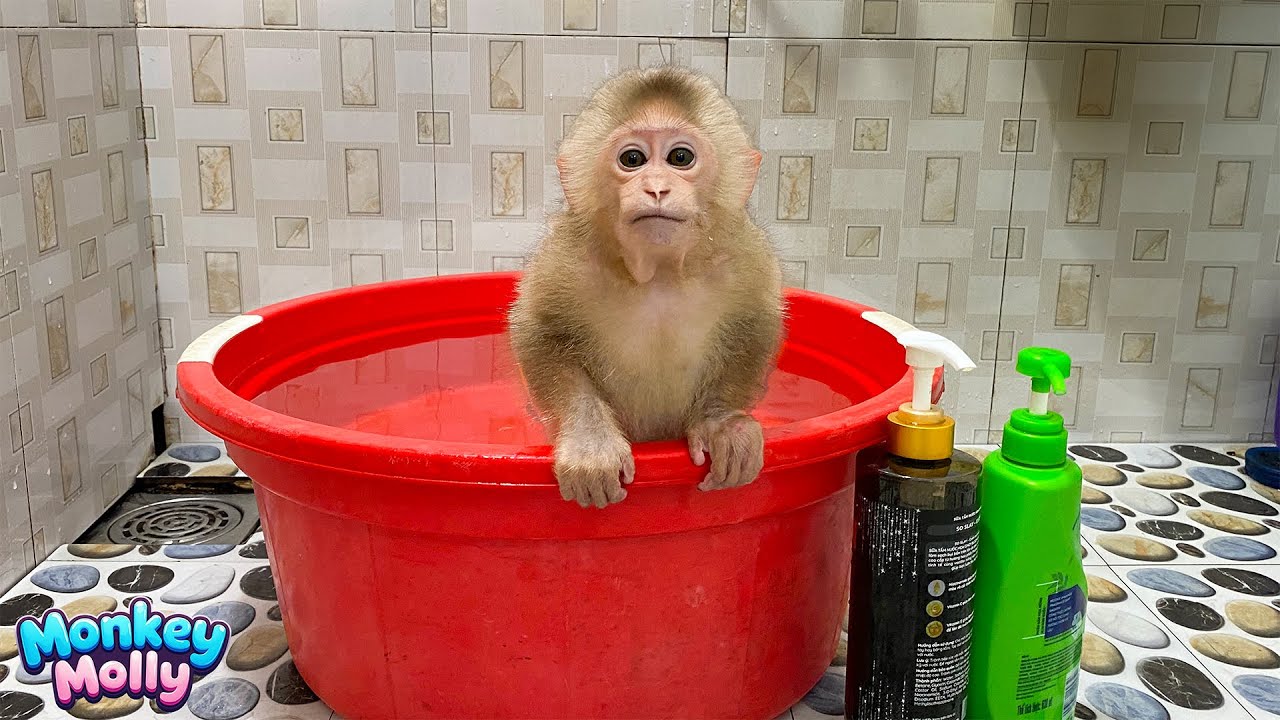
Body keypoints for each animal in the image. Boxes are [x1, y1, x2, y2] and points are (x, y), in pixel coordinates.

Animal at [507, 65, 784, 509]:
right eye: (632, 159)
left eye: (680, 158)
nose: (656, 187)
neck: (659, 274)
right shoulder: (568, 256)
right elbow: (539, 330)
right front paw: (590, 441)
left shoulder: (744, 255)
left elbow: (756, 323)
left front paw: (721, 421)